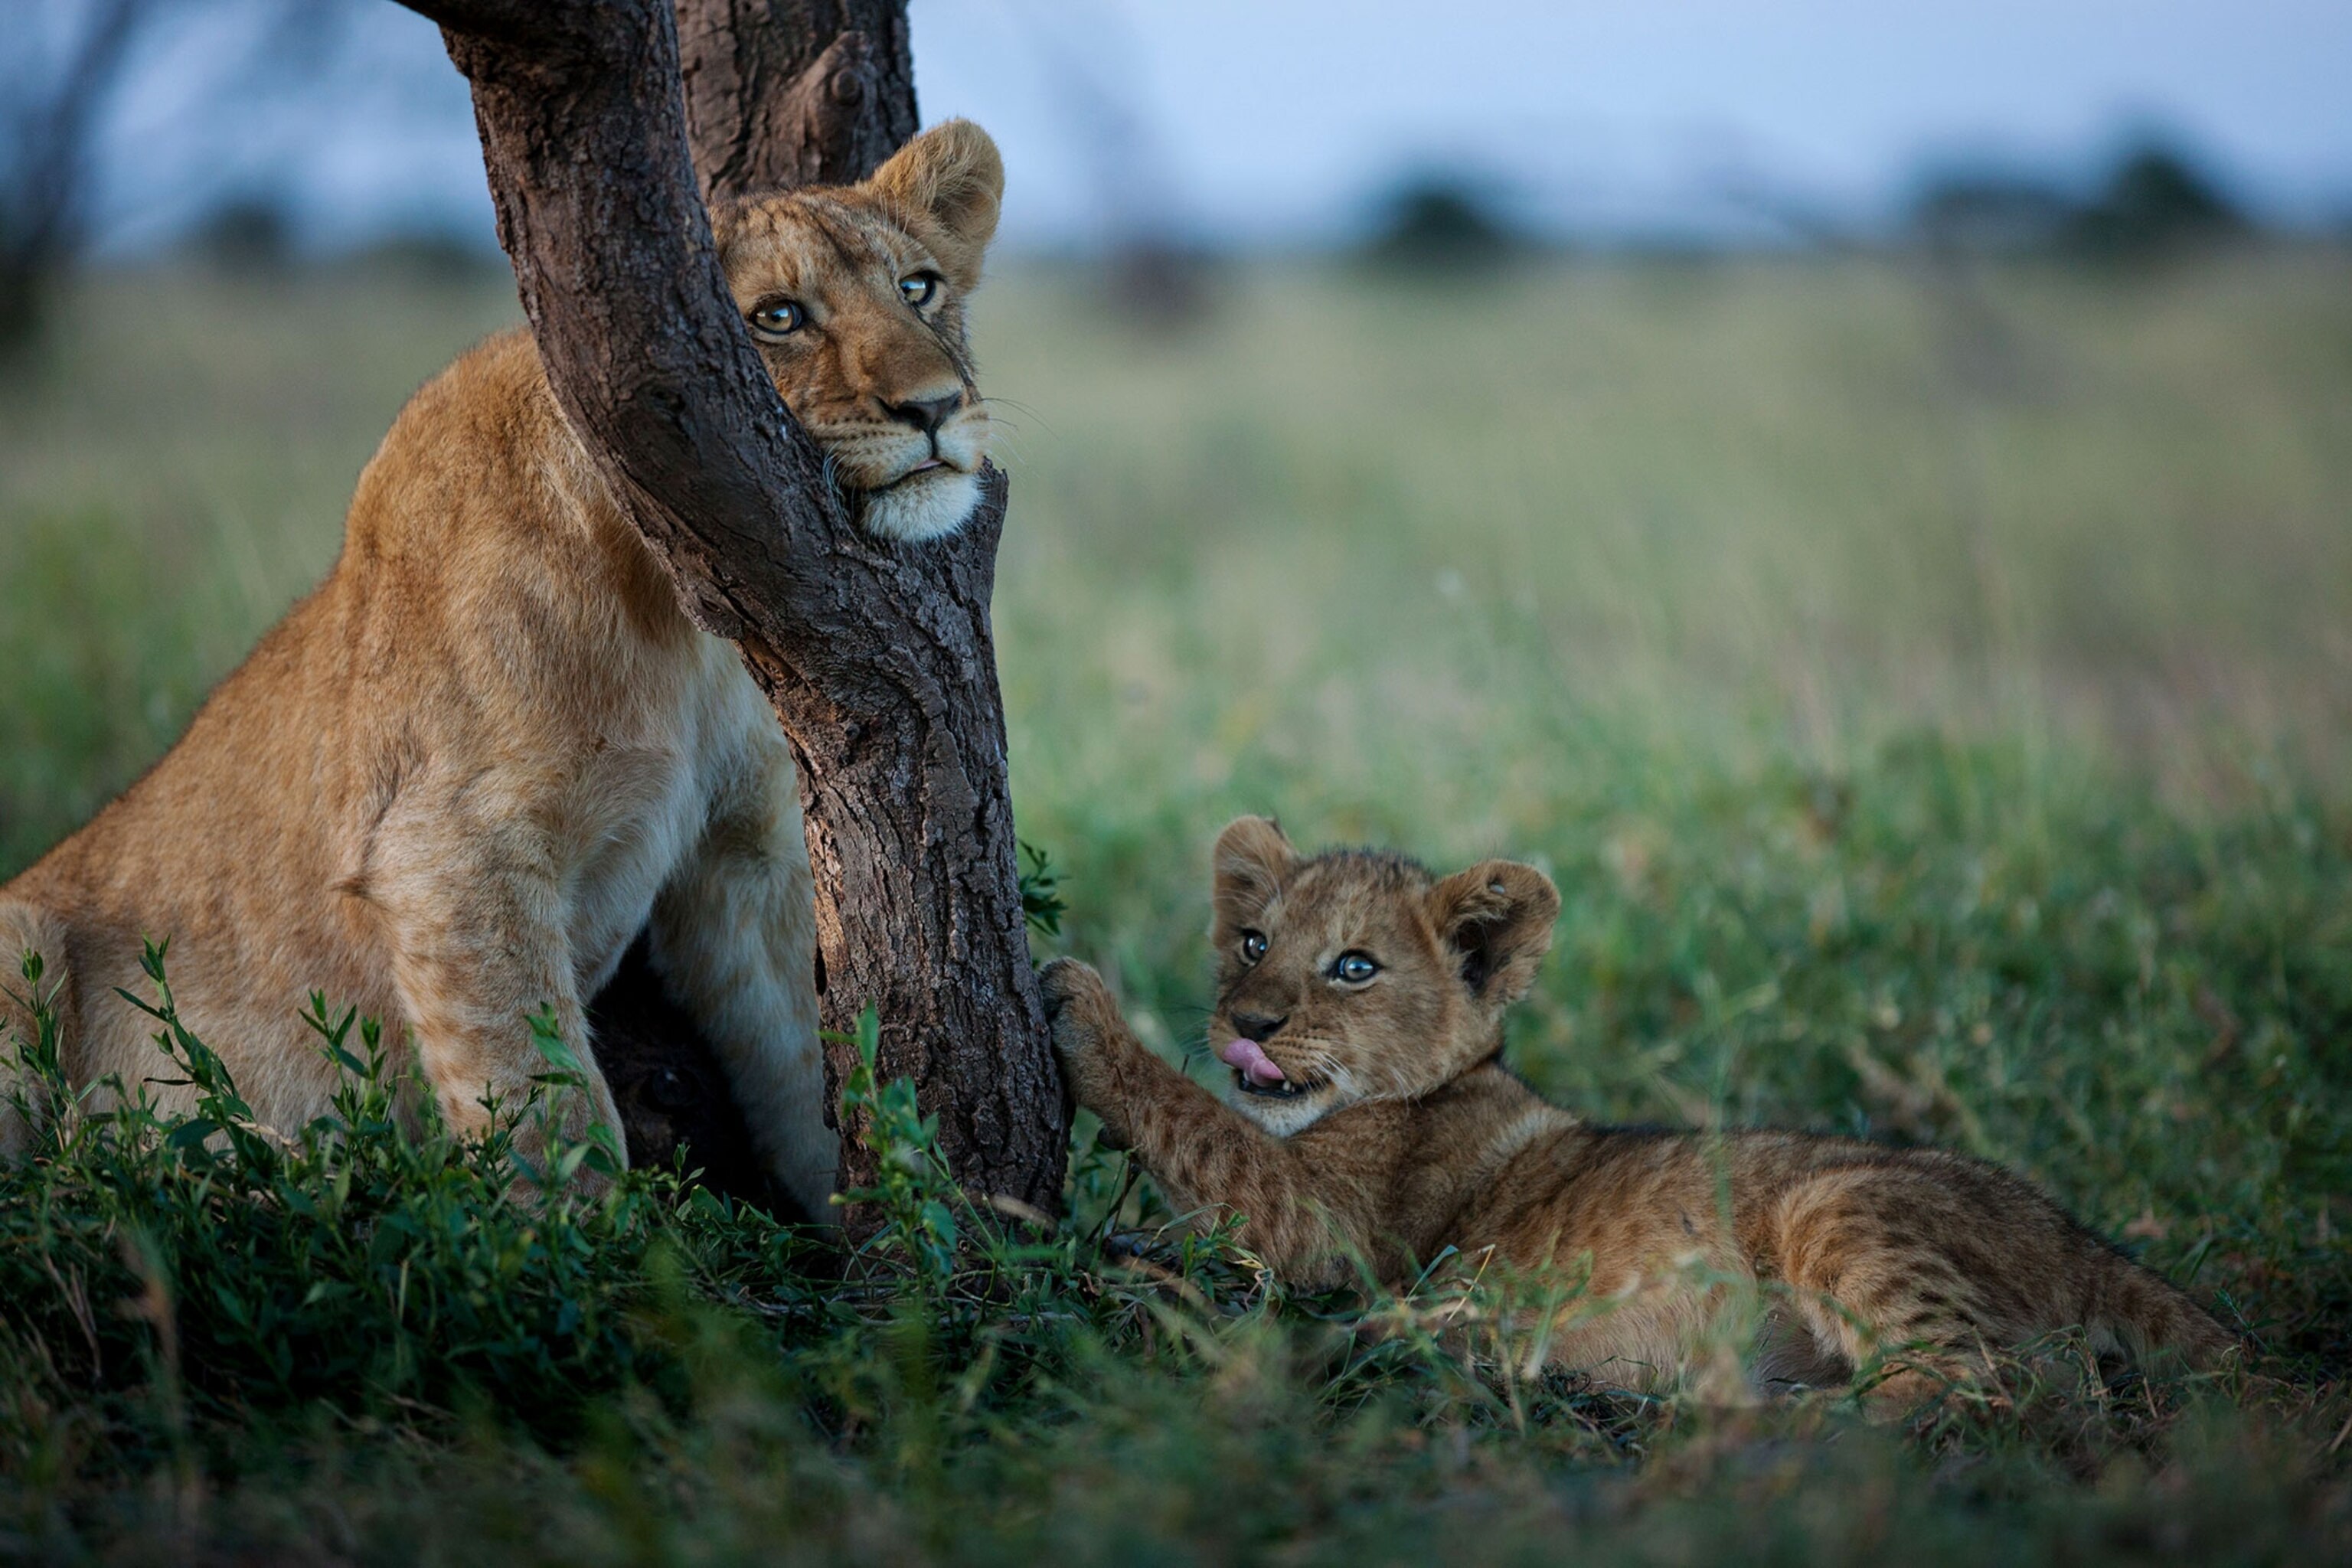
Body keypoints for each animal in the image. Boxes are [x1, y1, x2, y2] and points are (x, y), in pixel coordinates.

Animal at [0, 120, 1006, 1218]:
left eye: (917, 286)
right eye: (777, 317)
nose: (937, 407)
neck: (684, 614)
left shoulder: (743, 859)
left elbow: (808, 1067)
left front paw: (904, 1230)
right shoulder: (449, 852)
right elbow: (548, 1108)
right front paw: (598, 1253)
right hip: (20, 938)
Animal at [1040, 817, 2235, 1404]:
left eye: (1354, 966)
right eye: (1251, 942)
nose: (1248, 1020)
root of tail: (2069, 1230)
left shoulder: (1345, 1233)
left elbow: (1207, 1127)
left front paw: (1076, 1003)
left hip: (1838, 1207)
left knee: (2002, 1379)